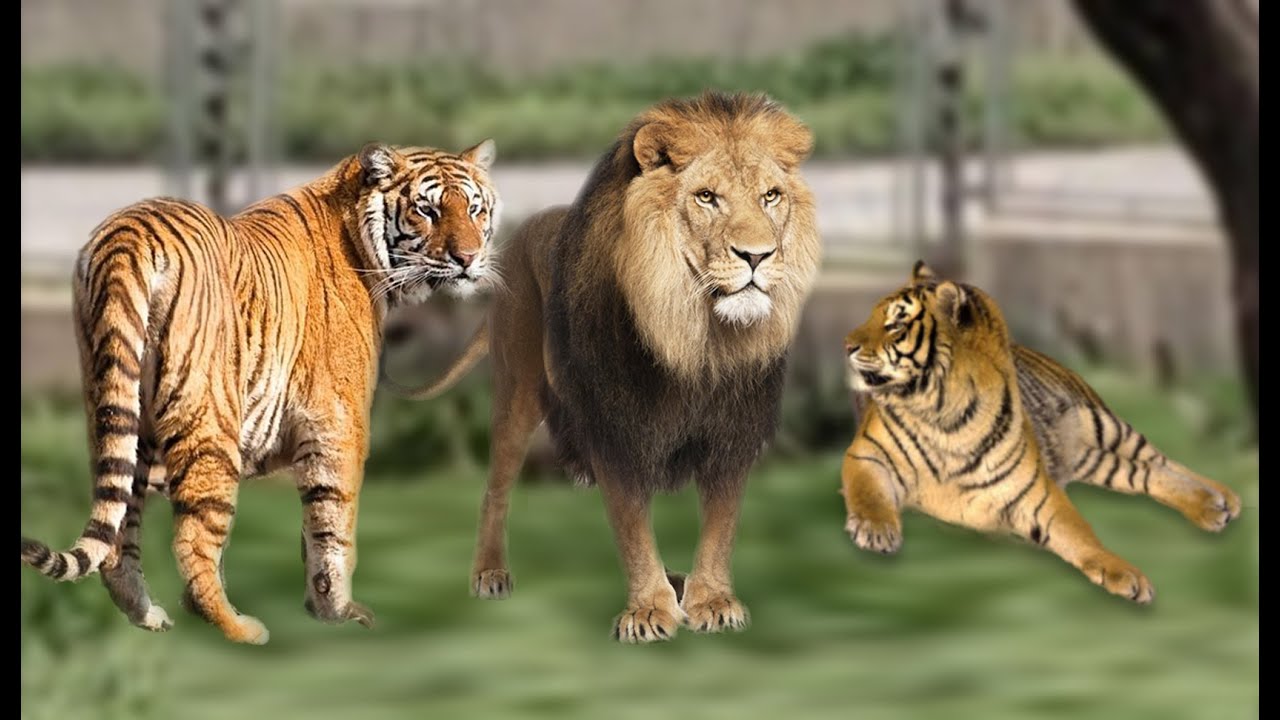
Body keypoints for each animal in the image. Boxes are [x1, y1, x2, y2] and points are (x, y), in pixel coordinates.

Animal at [20, 140, 502, 644]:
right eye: (427, 210)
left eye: (474, 208)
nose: (468, 259)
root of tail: (127, 235)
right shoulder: (340, 423)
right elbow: (333, 525)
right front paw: (337, 610)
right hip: (209, 424)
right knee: (192, 537)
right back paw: (239, 628)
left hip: (118, 412)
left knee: (119, 531)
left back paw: (150, 616)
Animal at [385, 92, 821, 642]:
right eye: (706, 197)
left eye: (770, 196)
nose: (758, 256)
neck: (697, 338)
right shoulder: (616, 428)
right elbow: (632, 525)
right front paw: (650, 610)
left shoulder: (732, 432)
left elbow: (720, 526)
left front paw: (710, 600)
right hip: (517, 393)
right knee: (495, 488)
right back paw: (490, 572)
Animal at [840, 261, 1242, 603]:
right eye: (873, 315)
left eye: (896, 324)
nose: (846, 345)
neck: (943, 416)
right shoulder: (866, 454)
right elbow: (868, 493)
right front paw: (876, 531)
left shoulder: (1034, 494)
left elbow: (1079, 533)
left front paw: (1125, 574)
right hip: (1098, 460)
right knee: (1147, 474)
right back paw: (1215, 505)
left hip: (1104, 426)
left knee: (1161, 460)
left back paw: (1222, 499)